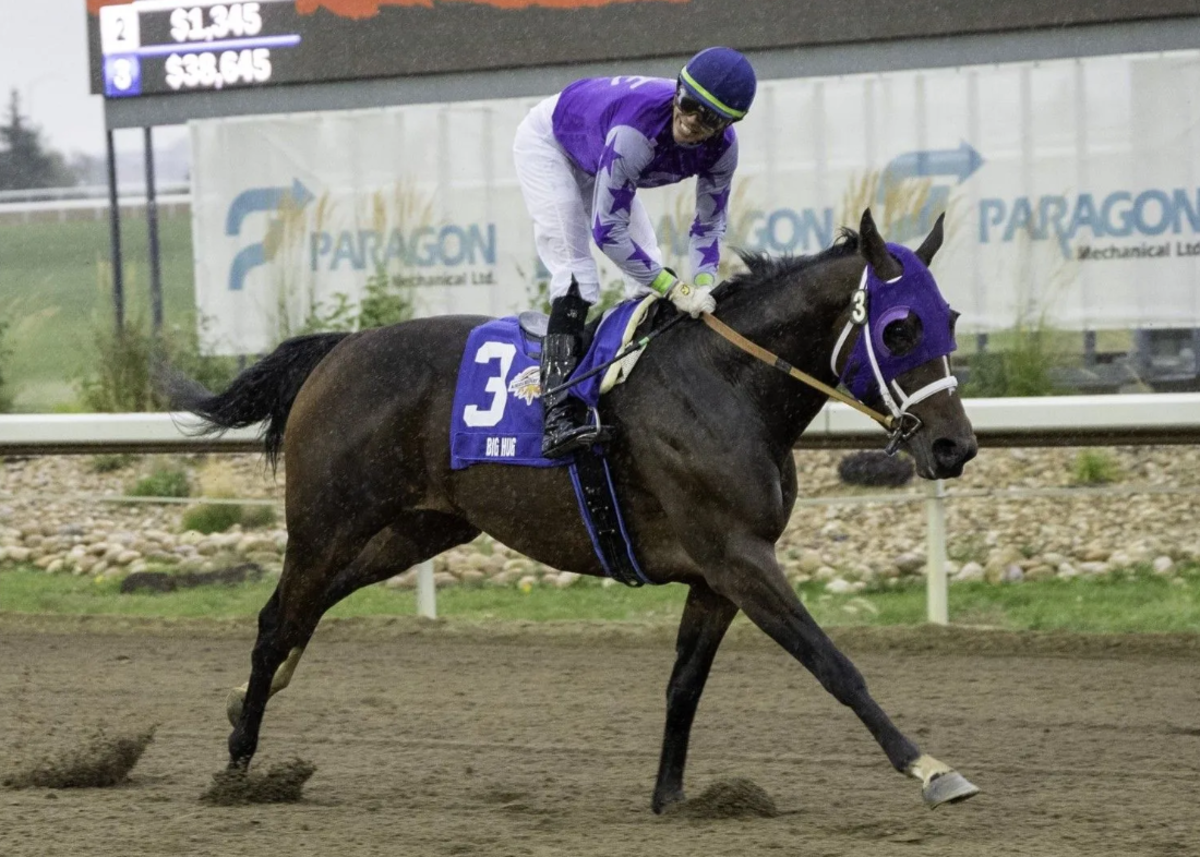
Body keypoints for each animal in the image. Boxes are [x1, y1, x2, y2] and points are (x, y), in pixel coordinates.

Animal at [172, 208, 980, 812]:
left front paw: (670, 796)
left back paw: (249, 703)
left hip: (419, 526)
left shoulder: (716, 575)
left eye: (950, 316)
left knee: (310, 607)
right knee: (275, 618)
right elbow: (832, 663)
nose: (955, 447)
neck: (728, 383)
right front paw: (931, 767)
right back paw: (238, 765)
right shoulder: (739, 556)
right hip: (327, 518)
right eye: (900, 328)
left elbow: (685, 683)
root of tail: (339, 350)